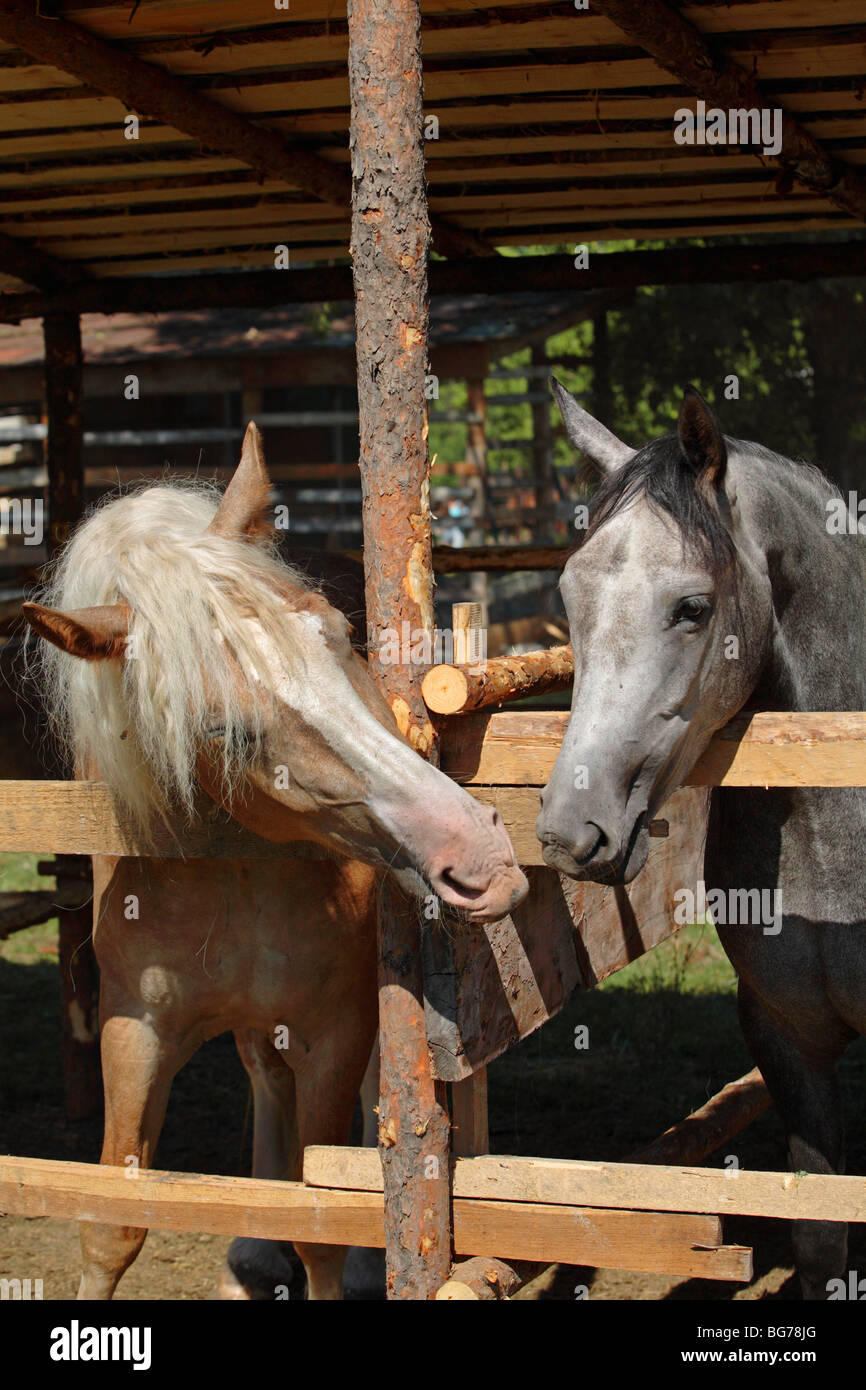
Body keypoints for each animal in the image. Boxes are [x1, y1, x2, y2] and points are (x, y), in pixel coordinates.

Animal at [24, 423, 528, 1300]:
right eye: (222, 731)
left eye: (342, 634)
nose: (478, 854)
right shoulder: (133, 1032)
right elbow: (111, 1222)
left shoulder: (337, 1027)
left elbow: (325, 1222)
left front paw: (344, 1256)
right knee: (264, 1070)